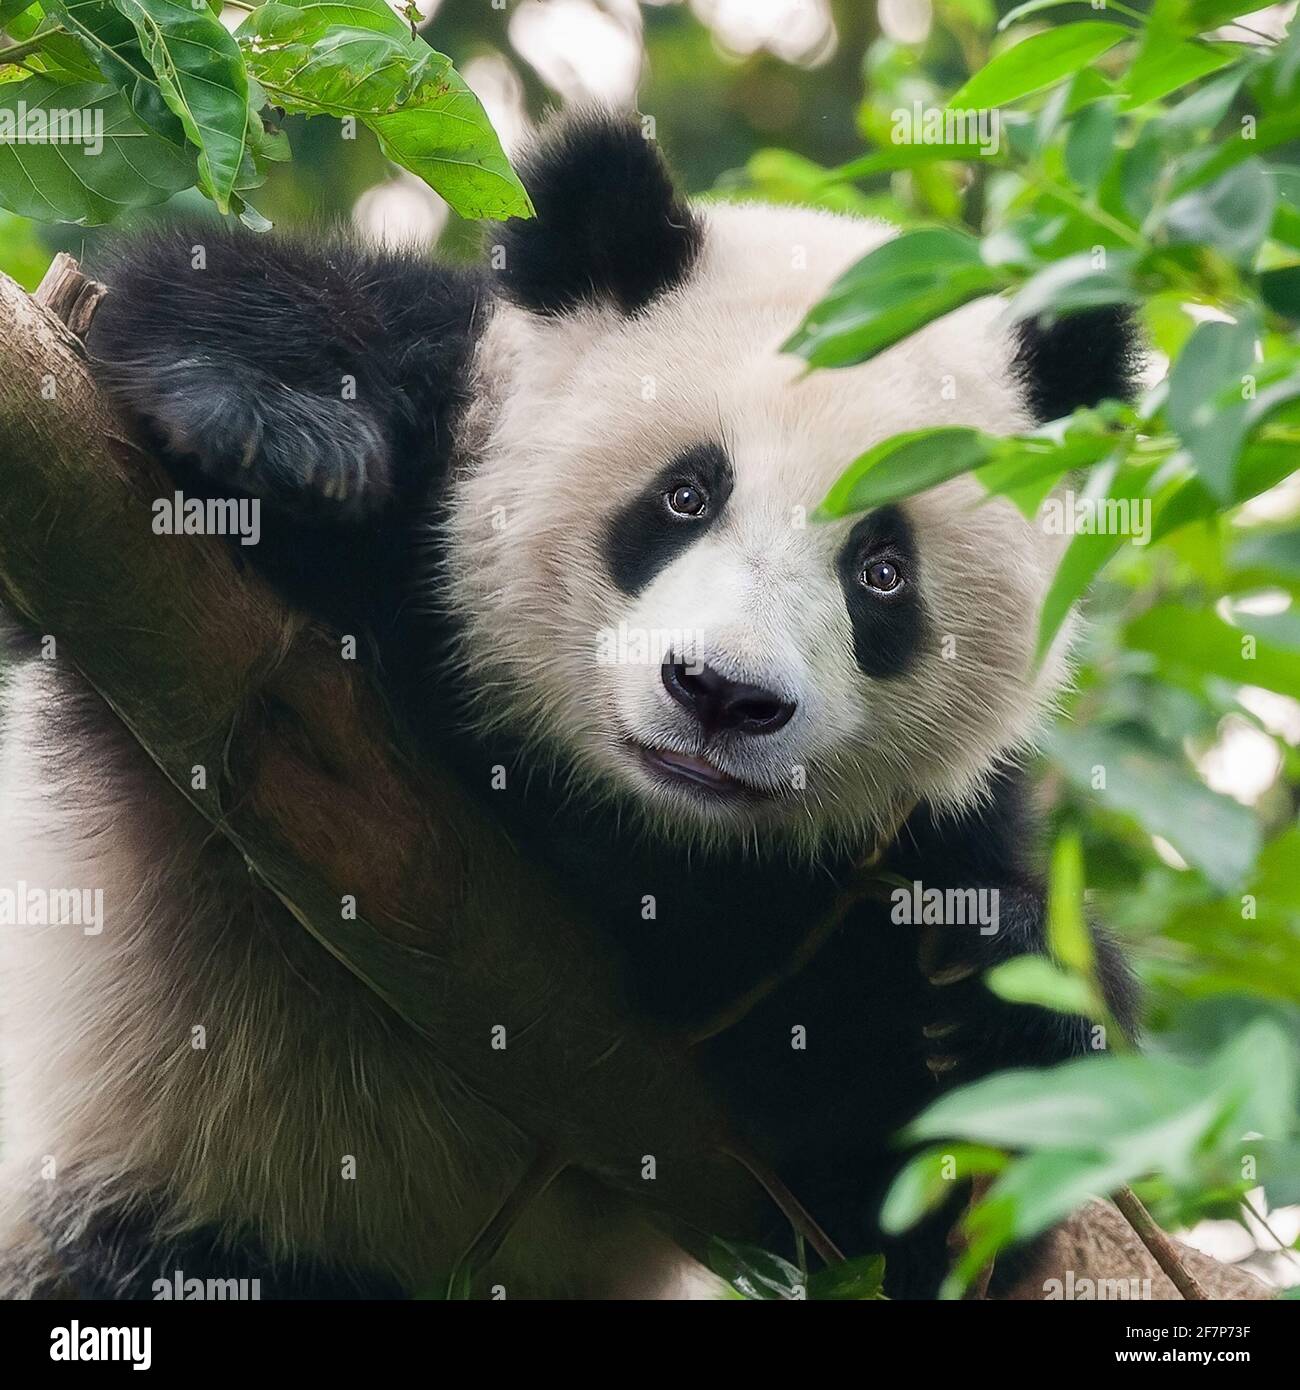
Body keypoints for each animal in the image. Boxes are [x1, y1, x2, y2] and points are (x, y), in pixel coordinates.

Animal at [0, 110, 1138, 1300]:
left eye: (882, 571)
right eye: (685, 495)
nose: (721, 694)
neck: (629, 819)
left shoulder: (911, 843)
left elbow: (923, 1217)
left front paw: (987, 992)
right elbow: (199, 315)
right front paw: (275, 425)